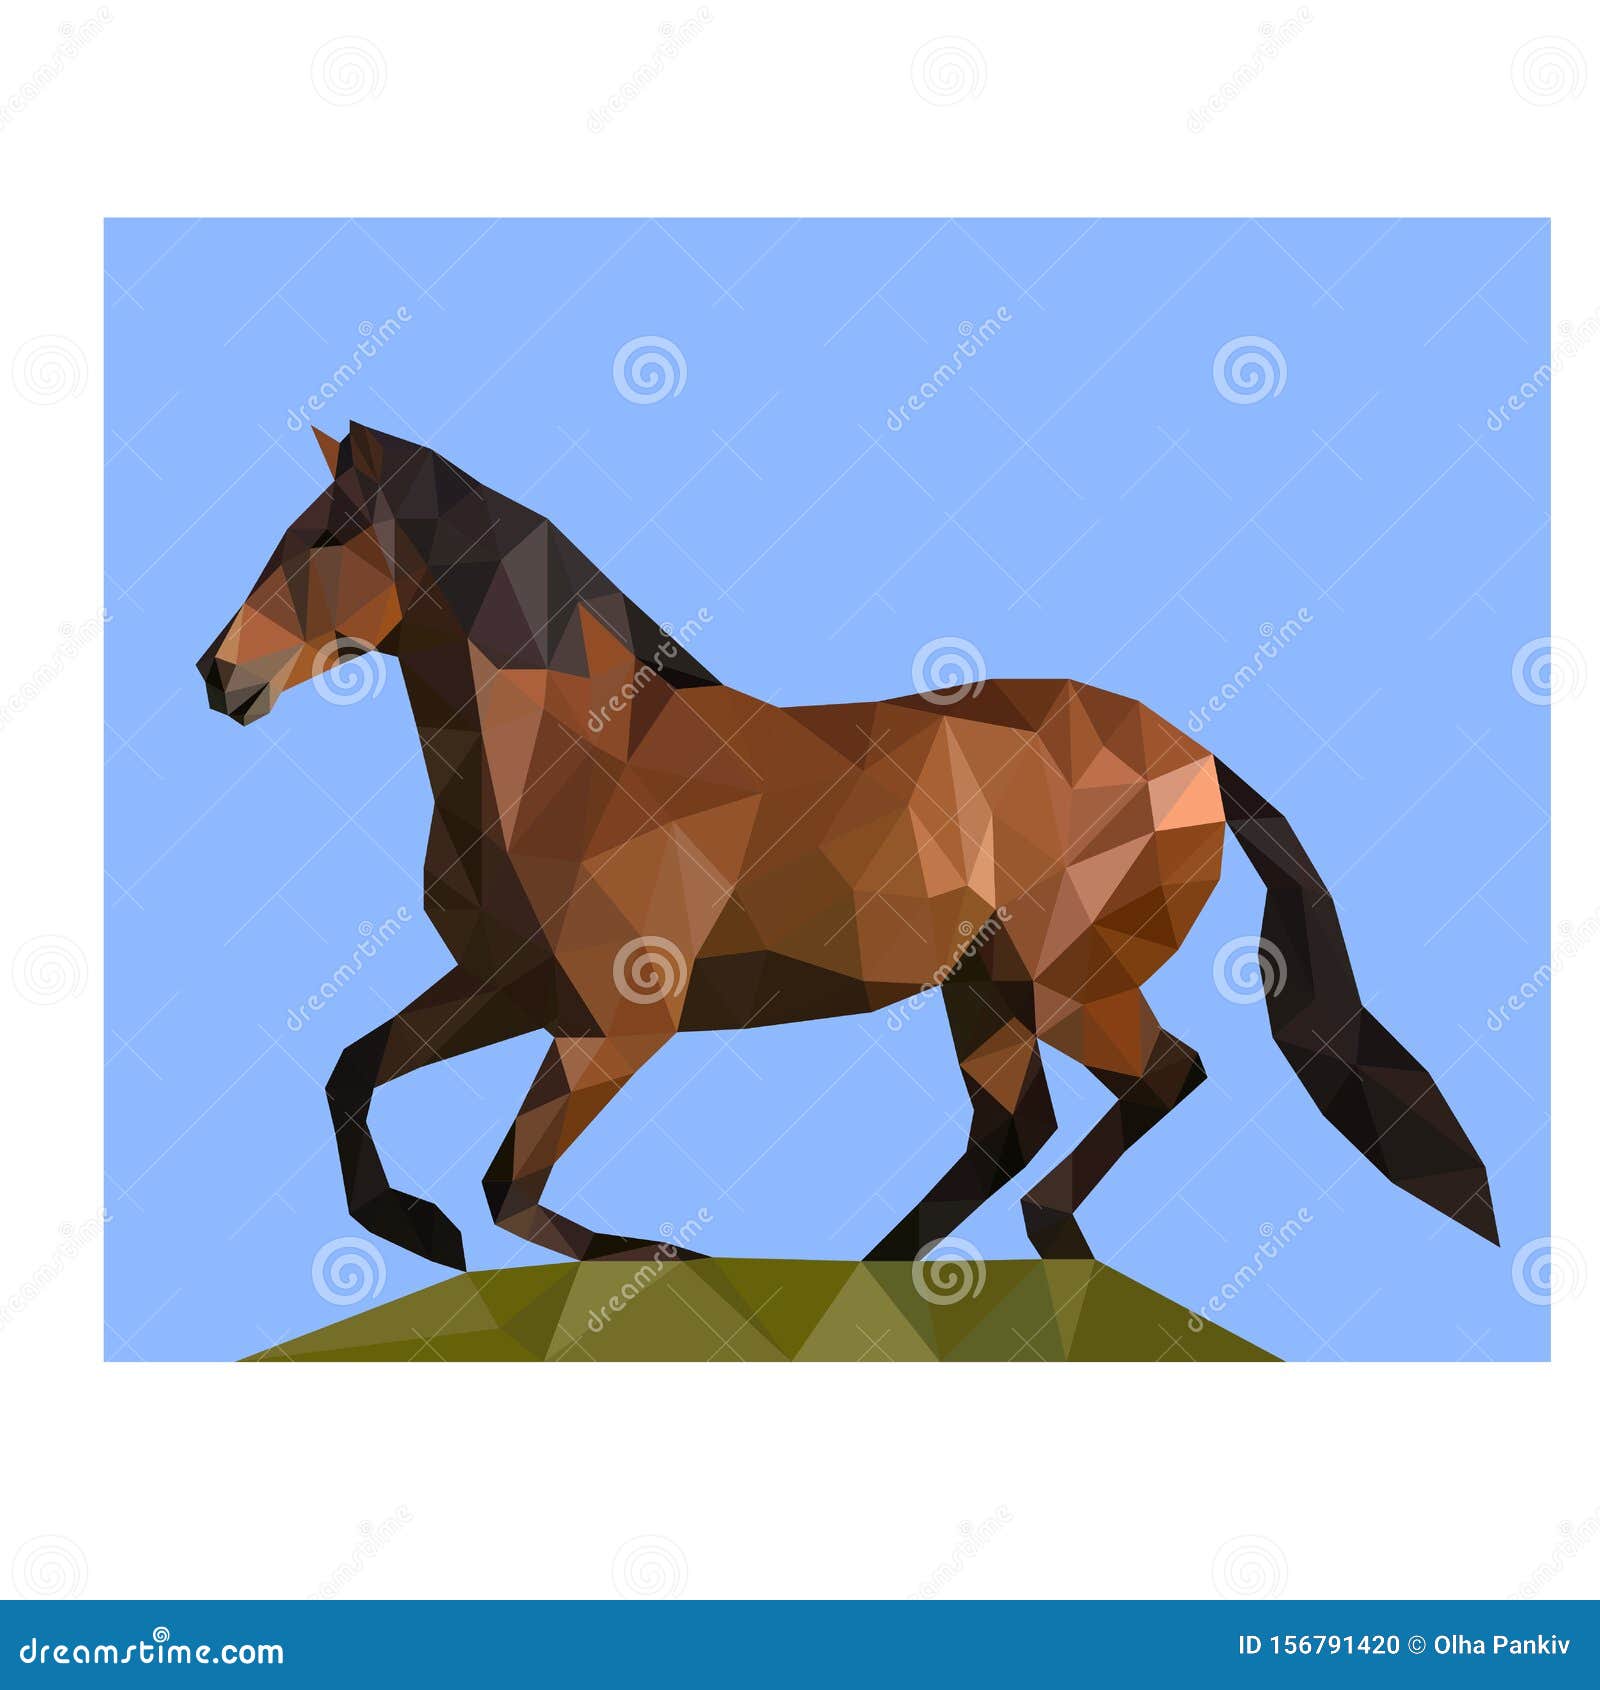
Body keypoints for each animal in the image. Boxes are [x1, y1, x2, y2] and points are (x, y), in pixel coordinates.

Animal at [197, 421, 1499, 1272]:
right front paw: (412, 1230)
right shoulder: (506, 983)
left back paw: (1038, 1242)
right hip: (985, 991)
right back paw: (888, 1264)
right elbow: (353, 1070)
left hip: (1069, 980)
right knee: (1012, 1125)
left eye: (327, 539)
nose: (219, 677)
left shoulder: (614, 1018)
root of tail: (1198, 761)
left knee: (1160, 1075)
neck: (573, 758)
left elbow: (510, 1182)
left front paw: (651, 1253)